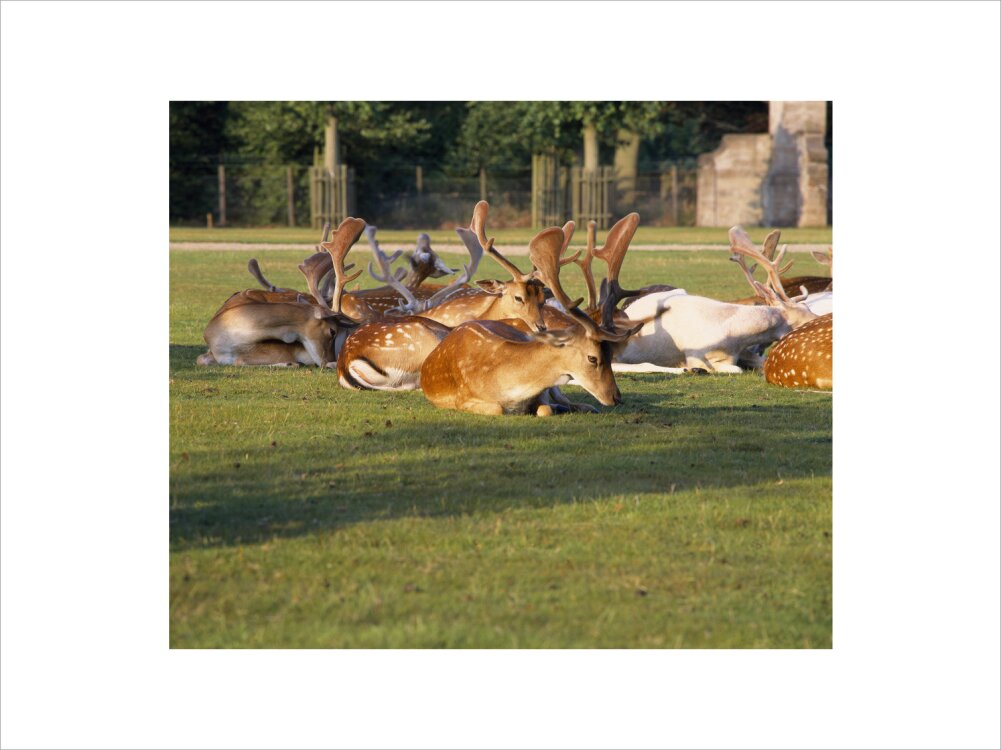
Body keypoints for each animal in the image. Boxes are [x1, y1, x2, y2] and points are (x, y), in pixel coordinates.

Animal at [610, 226, 819, 374]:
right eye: (802, 318)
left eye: (808, 307)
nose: (822, 321)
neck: (733, 336)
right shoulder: (695, 355)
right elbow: (735, 369)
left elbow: (759, 362)